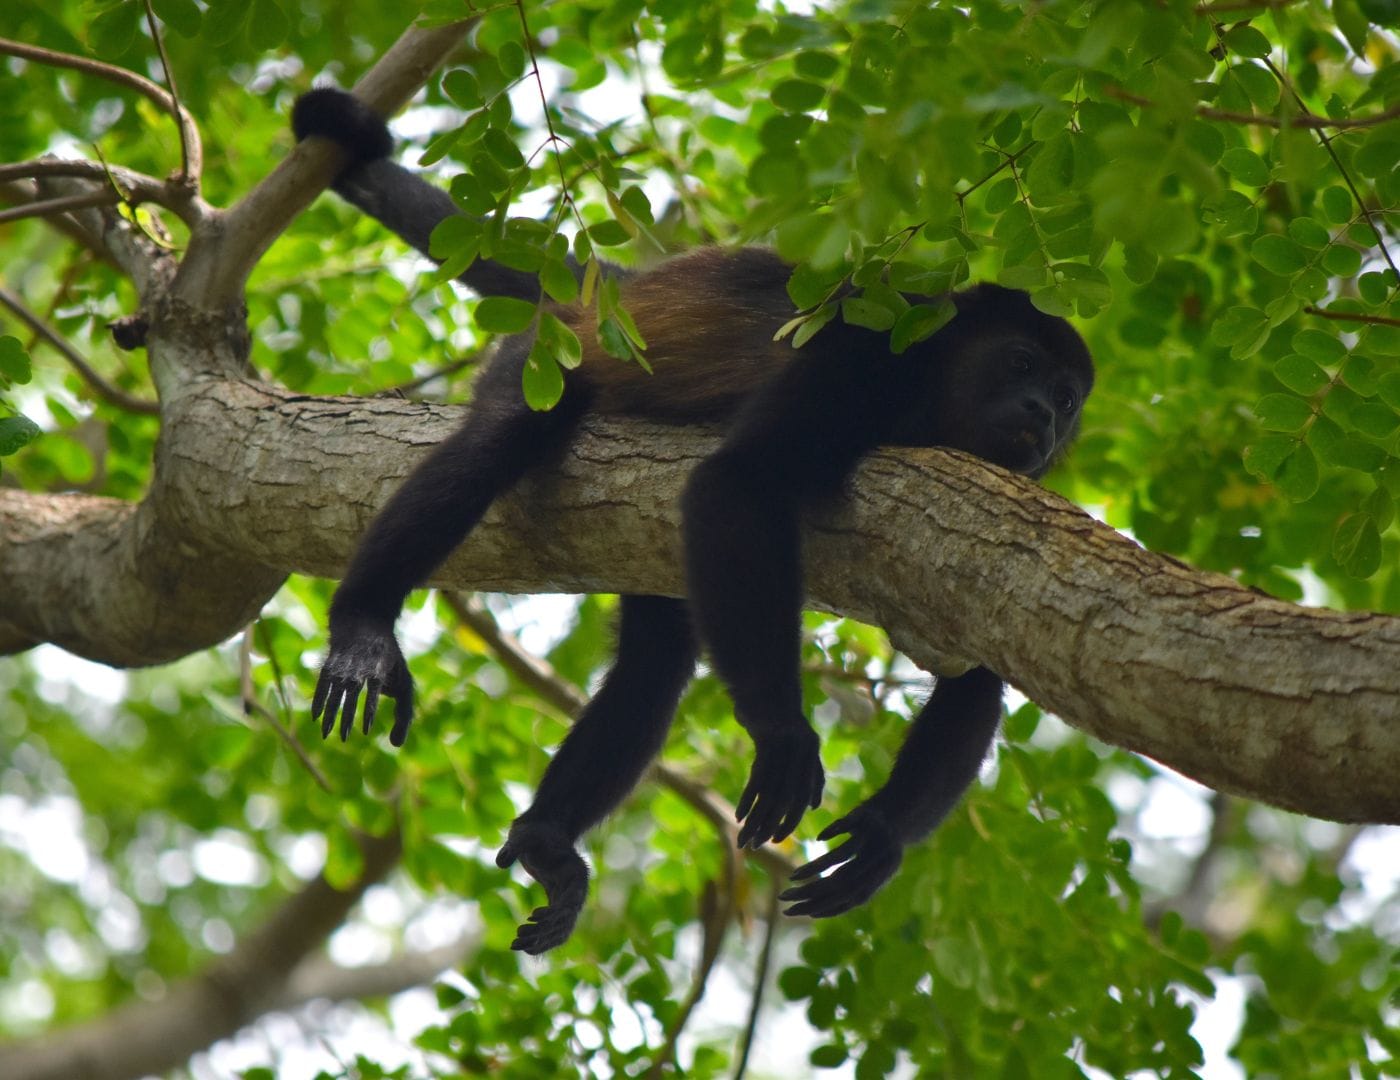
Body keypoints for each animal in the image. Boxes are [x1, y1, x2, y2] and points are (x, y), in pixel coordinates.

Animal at [291, 88, 1094, 954]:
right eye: (1021, 364)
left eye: (1067, 396)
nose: (1045, 416)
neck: (933, 384)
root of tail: (606, 292)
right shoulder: (863, 355)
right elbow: (736, 483)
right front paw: (782, 731)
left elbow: (977, 668)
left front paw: (882, 833)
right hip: (541, 360)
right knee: (496, 445)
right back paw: (365, 625)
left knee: (656, 657)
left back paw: (547, 839)